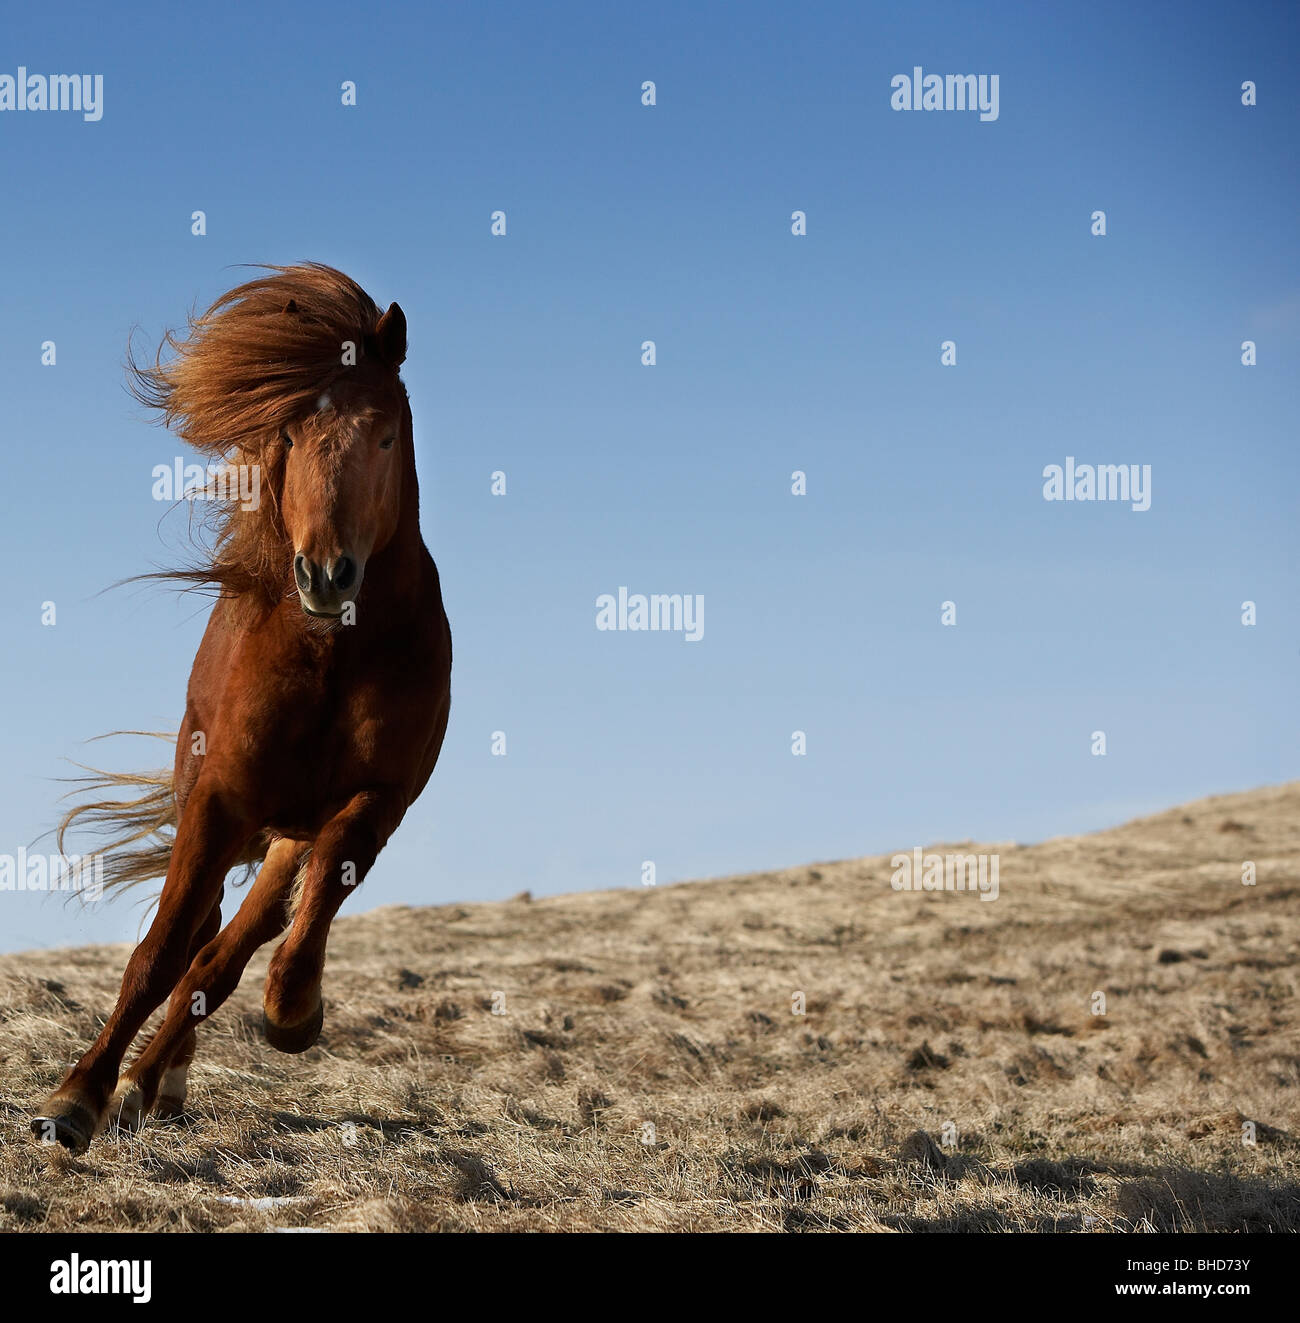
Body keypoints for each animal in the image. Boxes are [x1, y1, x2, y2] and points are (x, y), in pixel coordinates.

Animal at [31, 263, 452, 1154]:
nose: (326, 574)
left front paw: (294, 1010)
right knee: (197, 935)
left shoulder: (377, 800)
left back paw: (158, 1081)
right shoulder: (220, 798)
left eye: (385, 436)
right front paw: (73, 1098)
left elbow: (291, 915)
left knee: (227, 948)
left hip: (285, 834)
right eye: (286, 435)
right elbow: (157, 953)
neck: (333, 655)